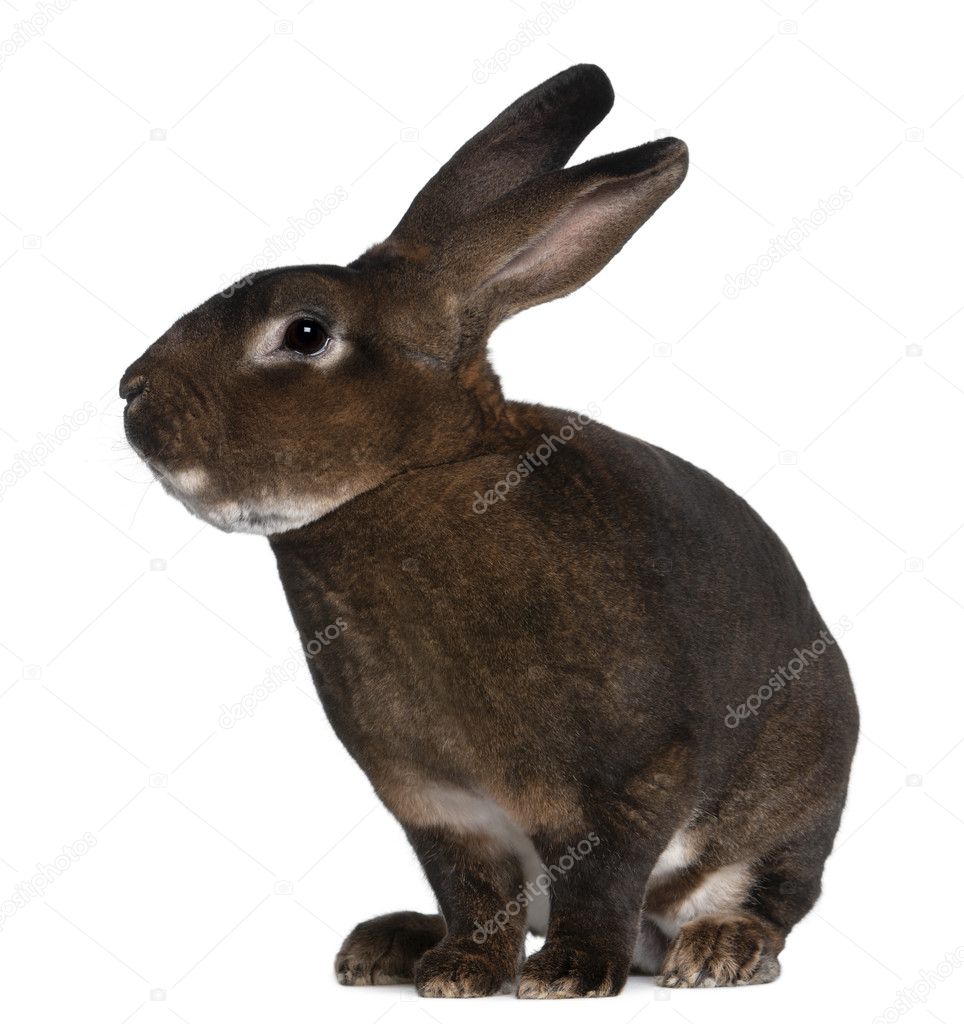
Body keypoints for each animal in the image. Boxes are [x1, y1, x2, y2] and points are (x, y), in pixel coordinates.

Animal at [119, 64, 859, 998]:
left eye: (306, 333)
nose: (130, 392)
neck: (415, 479)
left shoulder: (626, 787)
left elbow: (601, 878)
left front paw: (566, 977)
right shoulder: (440, 809)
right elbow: (471, 891)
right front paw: (459, 974)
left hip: (784, 813)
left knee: (763, 899)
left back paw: (718, 951)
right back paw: (390, 945)